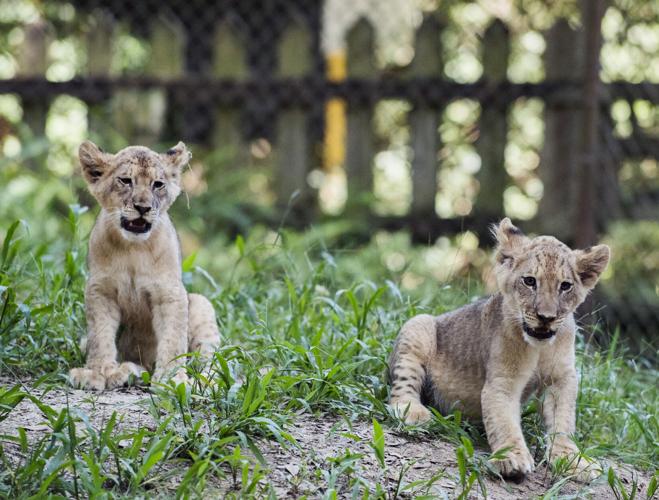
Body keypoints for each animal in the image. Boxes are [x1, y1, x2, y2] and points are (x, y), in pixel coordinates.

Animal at [68, 141, 220, 391]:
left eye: (157, 184)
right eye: (125, 180)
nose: (143, 207)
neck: (133, 249)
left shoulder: (169, 293)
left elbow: (173, 338)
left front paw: (173, 379)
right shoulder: (100, 290)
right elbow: (100, 335)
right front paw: (96, 373)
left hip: (201, 304)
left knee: (213, 360)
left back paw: (208, 381)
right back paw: (129, 371)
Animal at [388, 218, 610, 481]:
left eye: (565, 286)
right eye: (529, 281)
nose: (546, 318)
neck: (540, 349)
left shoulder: (561, 379)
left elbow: (563, 422)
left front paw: (572, 460)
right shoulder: (503, 381)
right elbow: (504, 422)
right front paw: (511, 457)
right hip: (418, 325)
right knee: (401, 387)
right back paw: (413, 412)